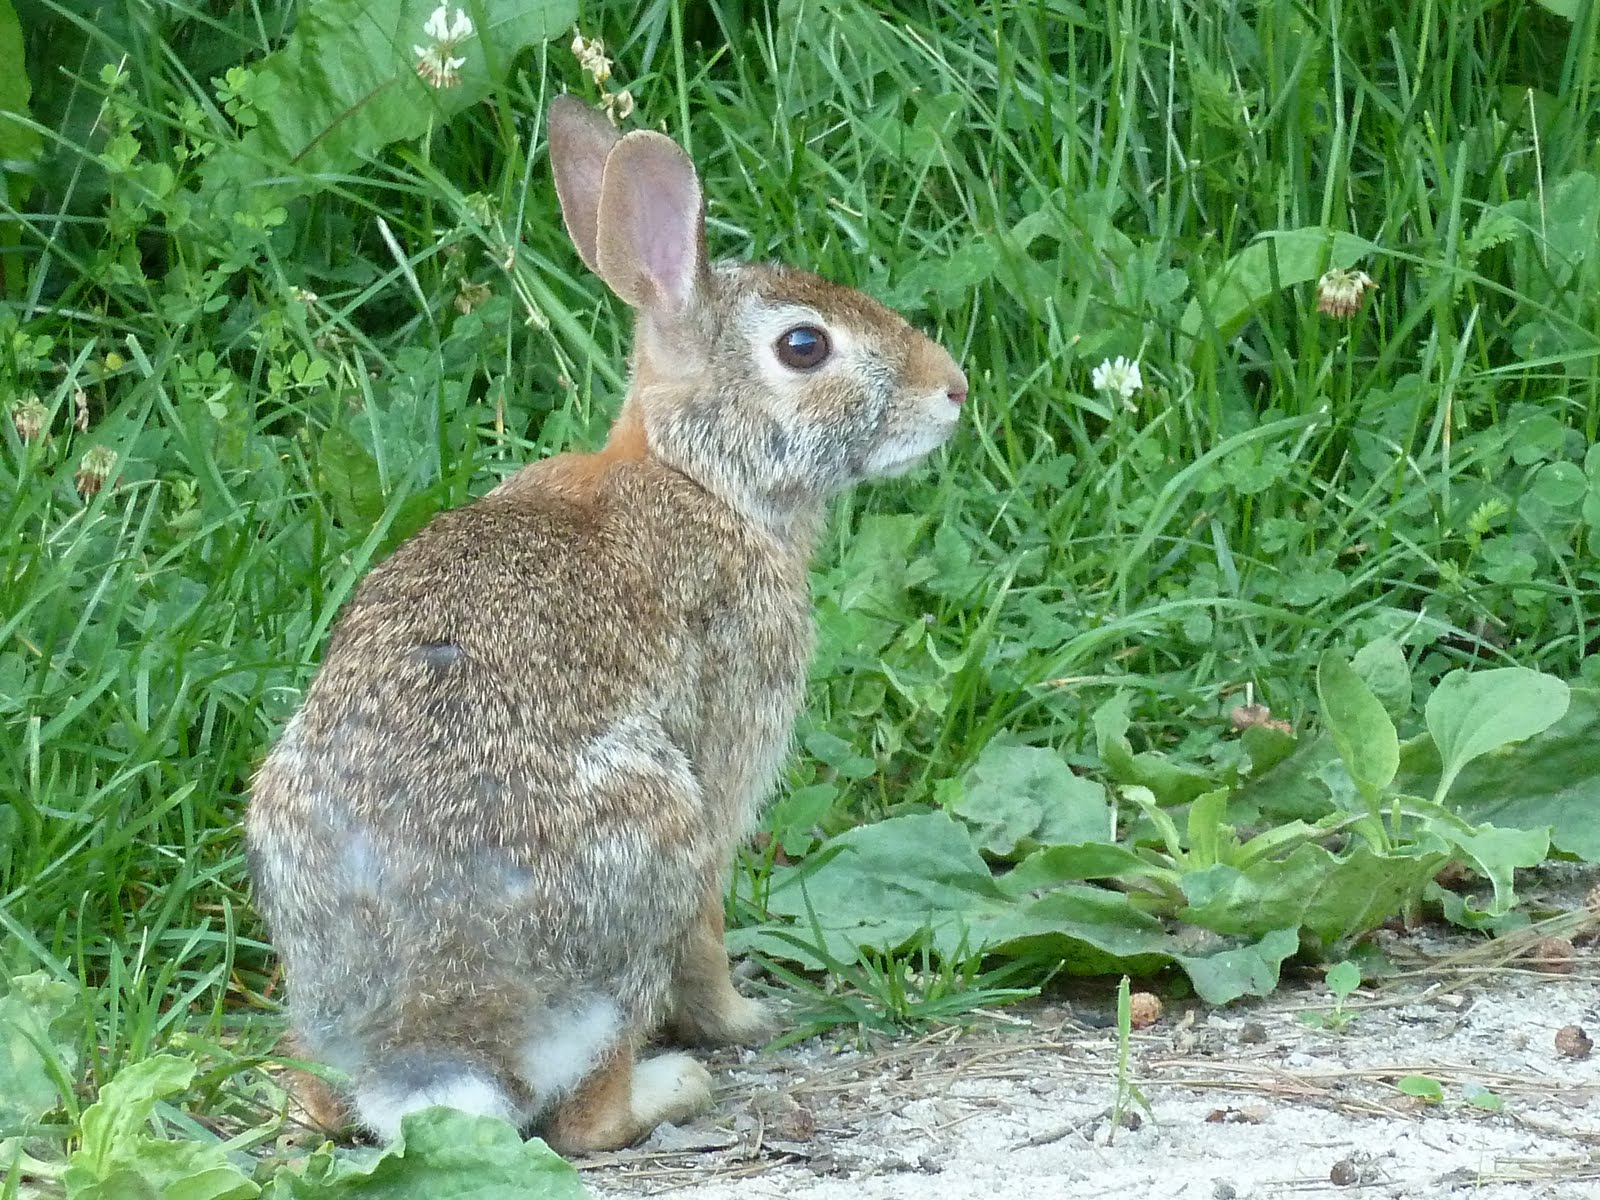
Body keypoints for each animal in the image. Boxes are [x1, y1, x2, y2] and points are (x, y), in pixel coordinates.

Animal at [245, 94, 968, 1155]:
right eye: (805, 347)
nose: (953, 389)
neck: (699, 474)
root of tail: (435, 1039)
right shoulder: (726, 763)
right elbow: (710, 929)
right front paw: (747, 1021)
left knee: (317, 1100)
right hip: (654, 838)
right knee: (590, 1118)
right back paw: (678, 1086)